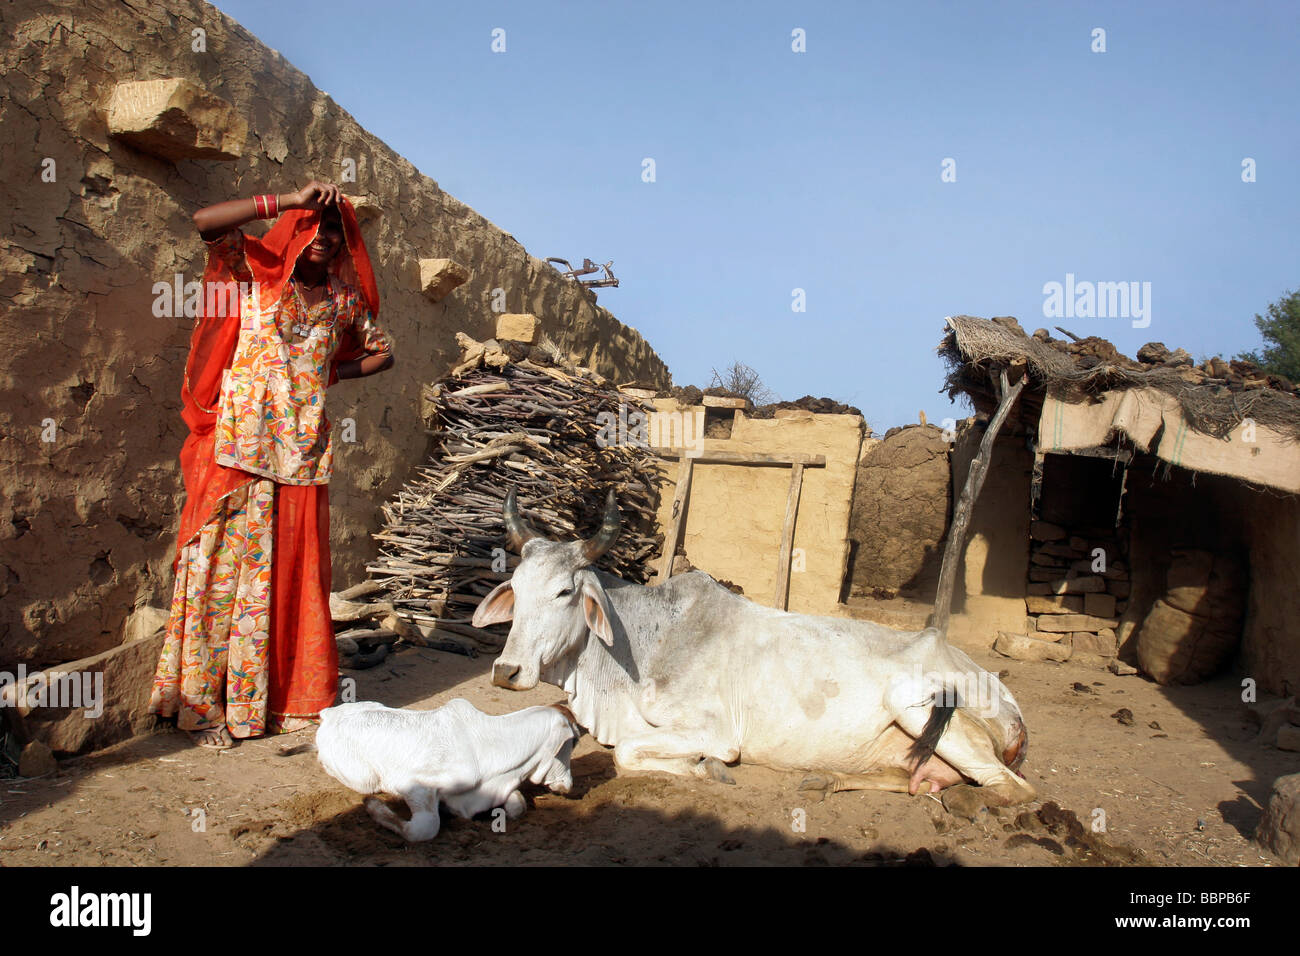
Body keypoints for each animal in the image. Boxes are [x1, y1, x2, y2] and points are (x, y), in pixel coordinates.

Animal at [314, 698, 583, 841]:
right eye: (574, 742)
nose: (569, 785)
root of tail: (329, 714)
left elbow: (518, 805)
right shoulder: (415, 787)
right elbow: (425, 828)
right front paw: (373, 807)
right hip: (364, 778)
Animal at [472, 489, 1036, 807]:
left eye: (565, 591)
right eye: (515, 589)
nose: (506, 671)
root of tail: (1011, 704)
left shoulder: (713, 730)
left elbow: (632, 753)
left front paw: (707, 770)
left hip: (916, 704)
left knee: (1012, 789)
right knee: (922, 778)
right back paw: (825, 781)